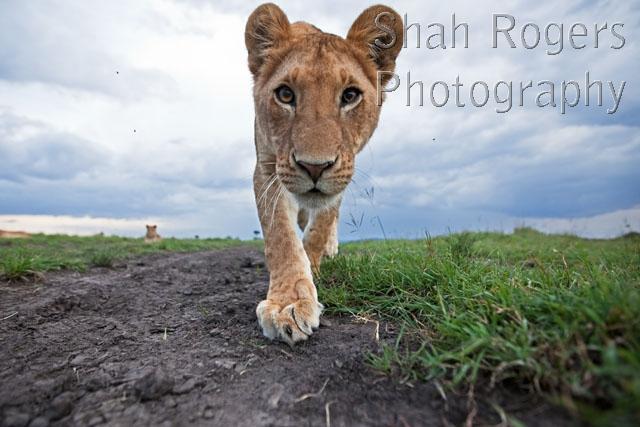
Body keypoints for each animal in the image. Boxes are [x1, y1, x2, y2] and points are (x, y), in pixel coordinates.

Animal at [245, 3, 403, 345]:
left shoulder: (342, 173)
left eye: (350, 96)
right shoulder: (268, 168)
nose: (314, 166)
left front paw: (312, 265)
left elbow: (320, 227)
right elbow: (281, 235)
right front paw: (287, 302)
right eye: (285, 95)